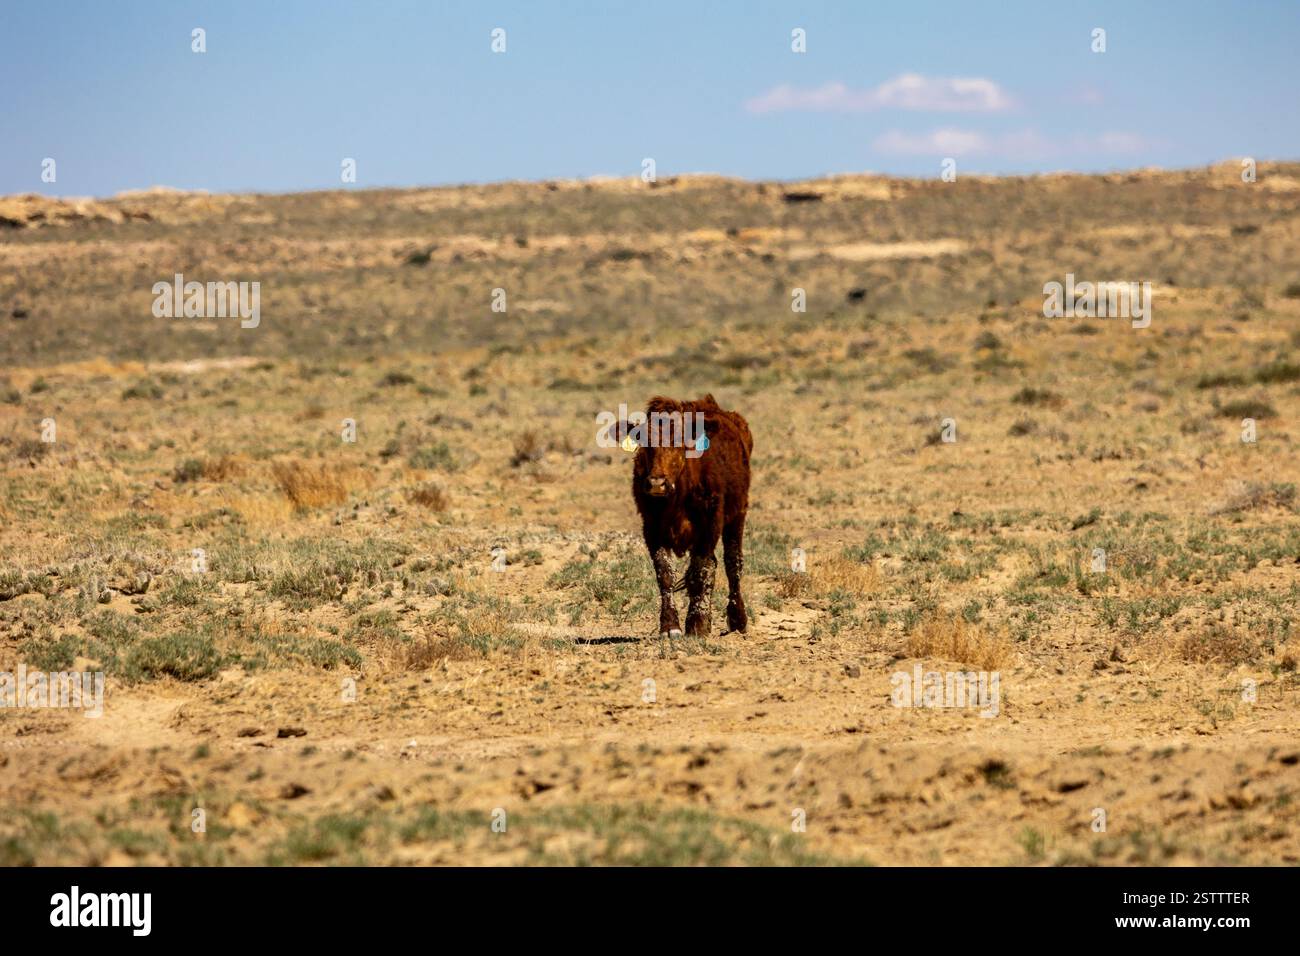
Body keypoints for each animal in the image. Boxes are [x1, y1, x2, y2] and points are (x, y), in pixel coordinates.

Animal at [617, 394, 753, 639]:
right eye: (644, 441)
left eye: (678, 441)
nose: (656, 483)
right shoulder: (651, 528)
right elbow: (665, 574)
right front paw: (670, 625)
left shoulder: (709, 526)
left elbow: (701, 570)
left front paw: (697, 625)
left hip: (737, 515)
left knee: (732, 563)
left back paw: (738, 619)